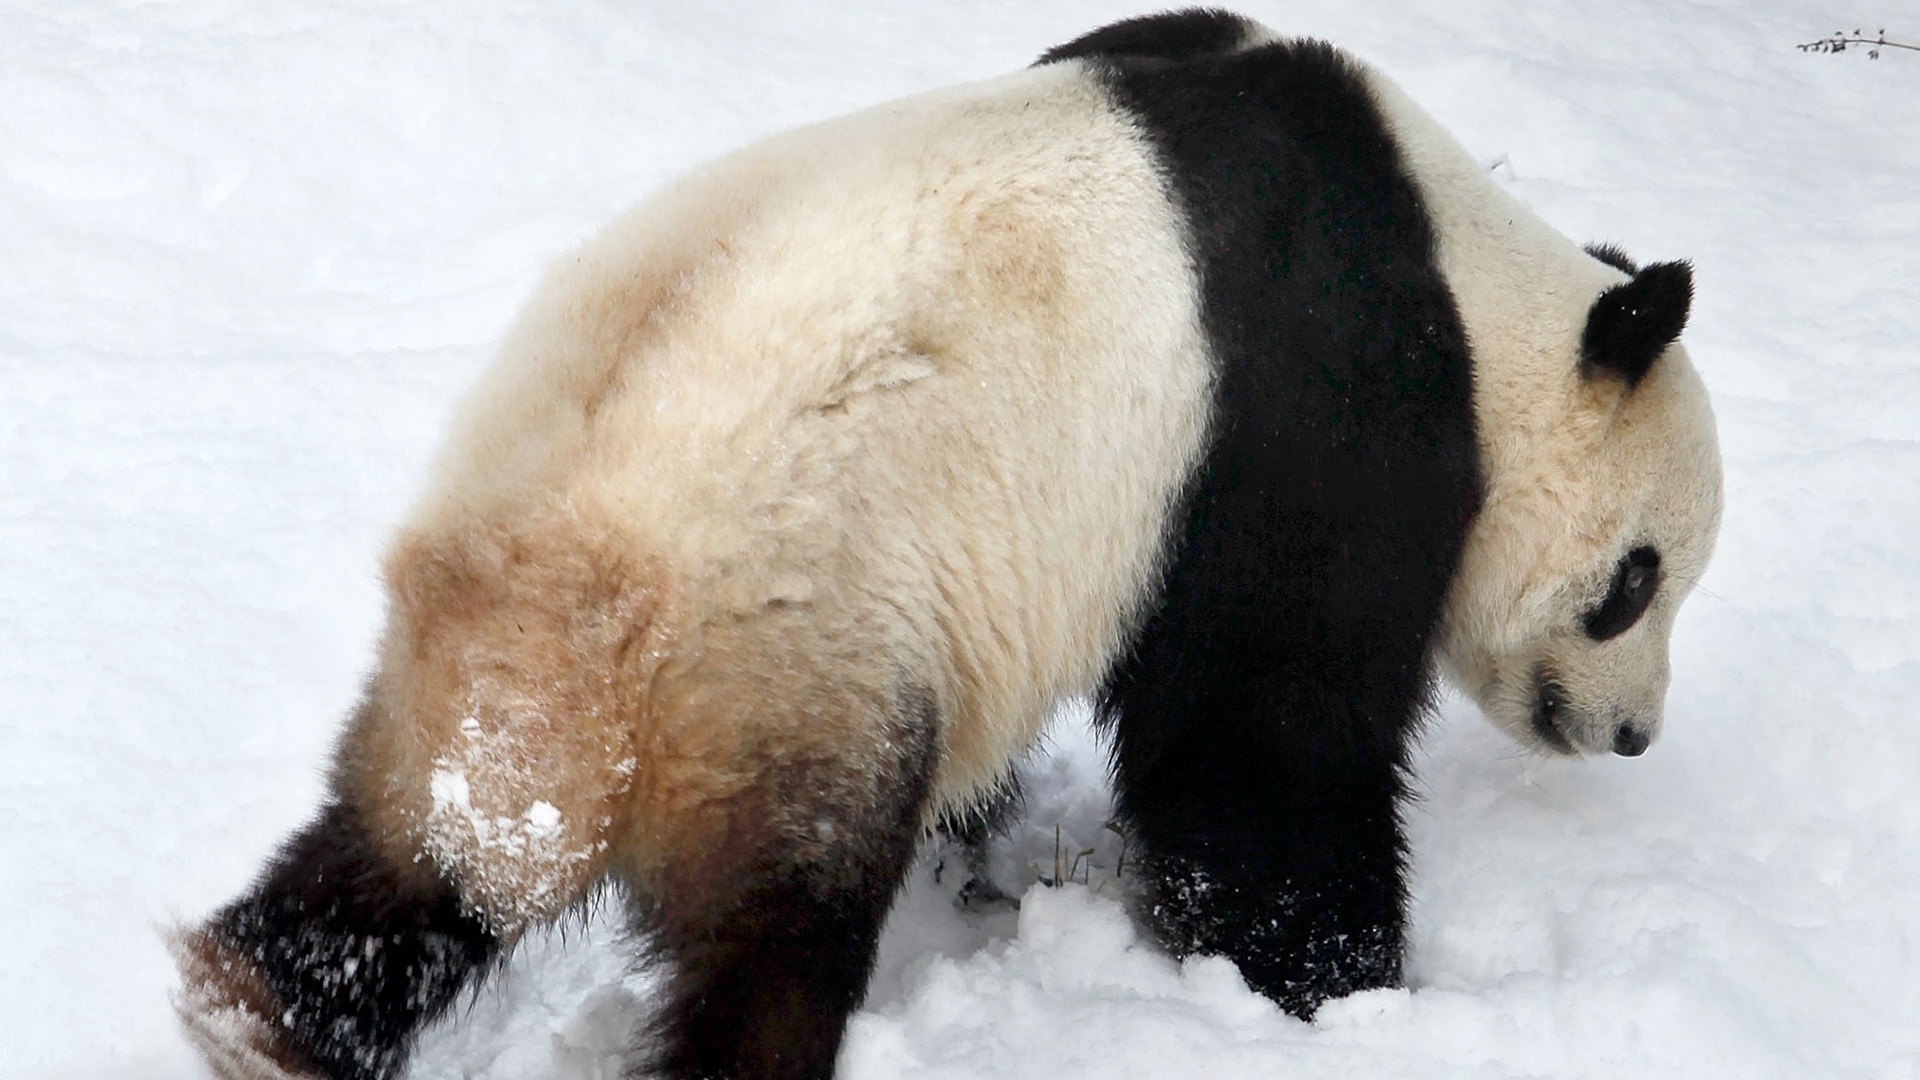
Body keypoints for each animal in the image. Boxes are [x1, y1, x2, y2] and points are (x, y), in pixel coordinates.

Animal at [171, 10, 1723, 1080]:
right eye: (1637, 582)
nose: (1633, 734)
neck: (1475, 285)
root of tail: (570, 602)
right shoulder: (1309, 413)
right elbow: (1268, 743)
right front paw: (1334, 988)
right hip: (791, 647)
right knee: (778, 937)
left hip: (463, 684)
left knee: (393, 873)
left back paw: (252, 1019)